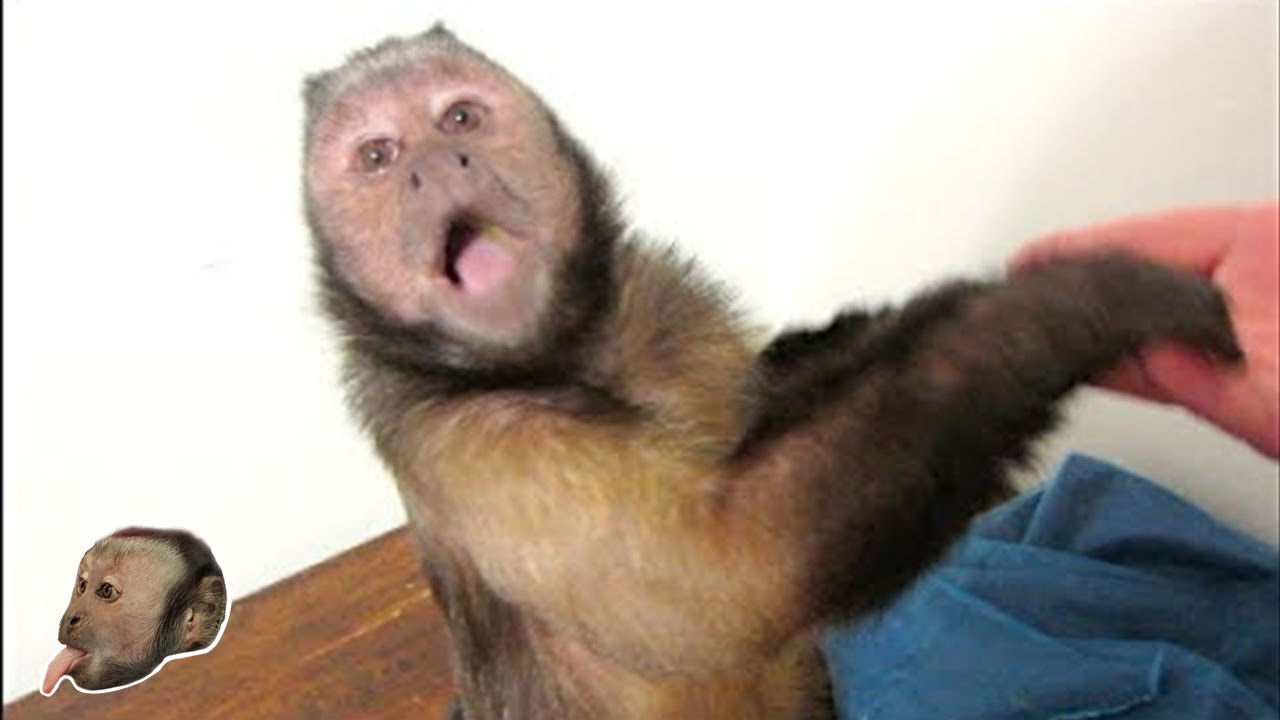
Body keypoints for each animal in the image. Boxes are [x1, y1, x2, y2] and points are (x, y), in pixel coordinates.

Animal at [303, 25, 1244, 720]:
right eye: (378, 157)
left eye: (459, 118)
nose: (434, 165)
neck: (574, 351)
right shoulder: (465, 440)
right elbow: (738, 573)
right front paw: (1068, 304)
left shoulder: (669, 300)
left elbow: (763, 421)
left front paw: (846, 335)